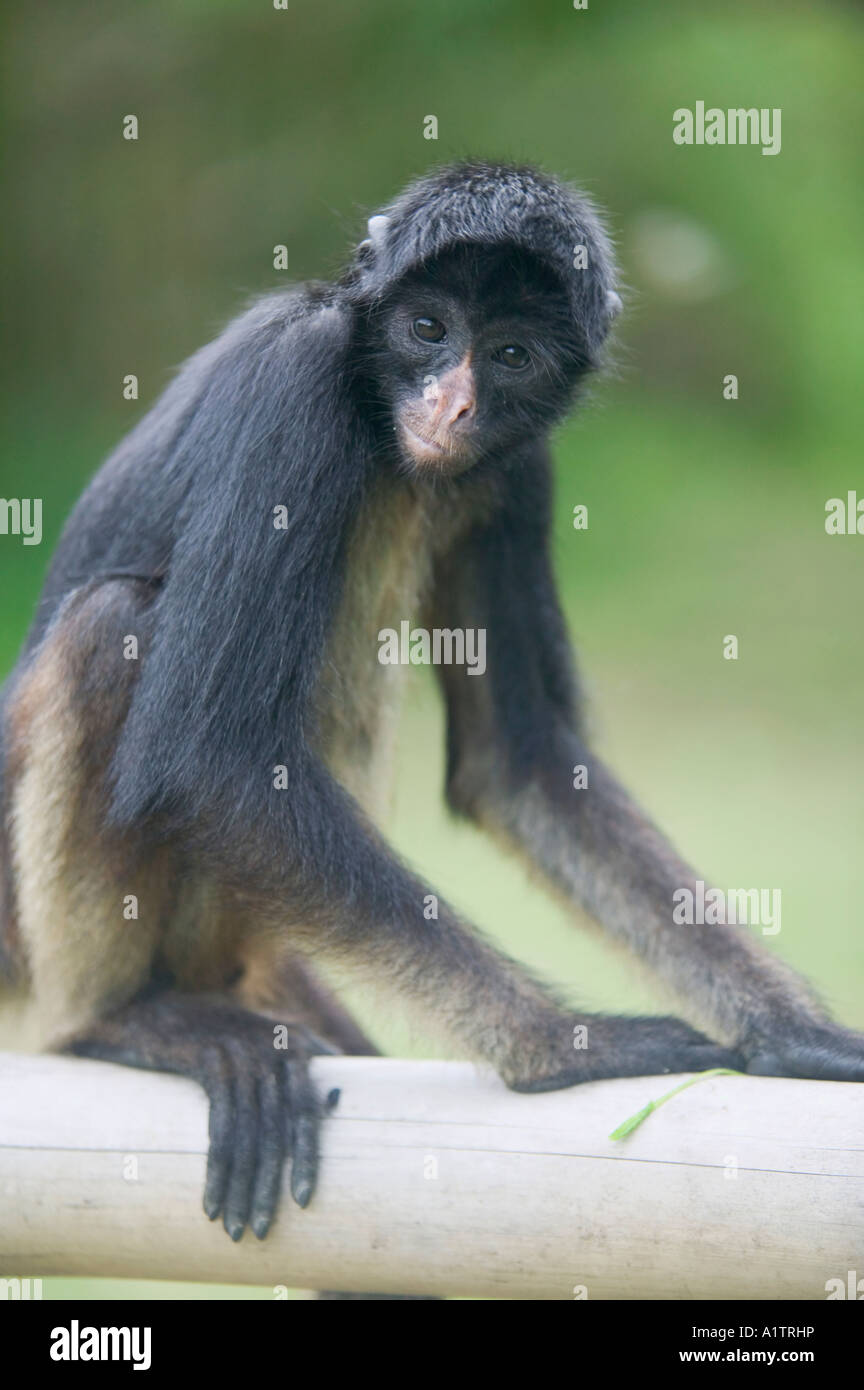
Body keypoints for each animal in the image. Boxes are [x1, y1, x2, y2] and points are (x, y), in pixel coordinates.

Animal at [2, 161, 863, 1255]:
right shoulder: (294, 378)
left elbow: (518, 763)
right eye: (426, 330)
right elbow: (204, 755)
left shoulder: (519, 464)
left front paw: (799, 1031)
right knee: (114, 622)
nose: (452, 406)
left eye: (510, 355)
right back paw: (118, 1021)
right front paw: (562, 1044)